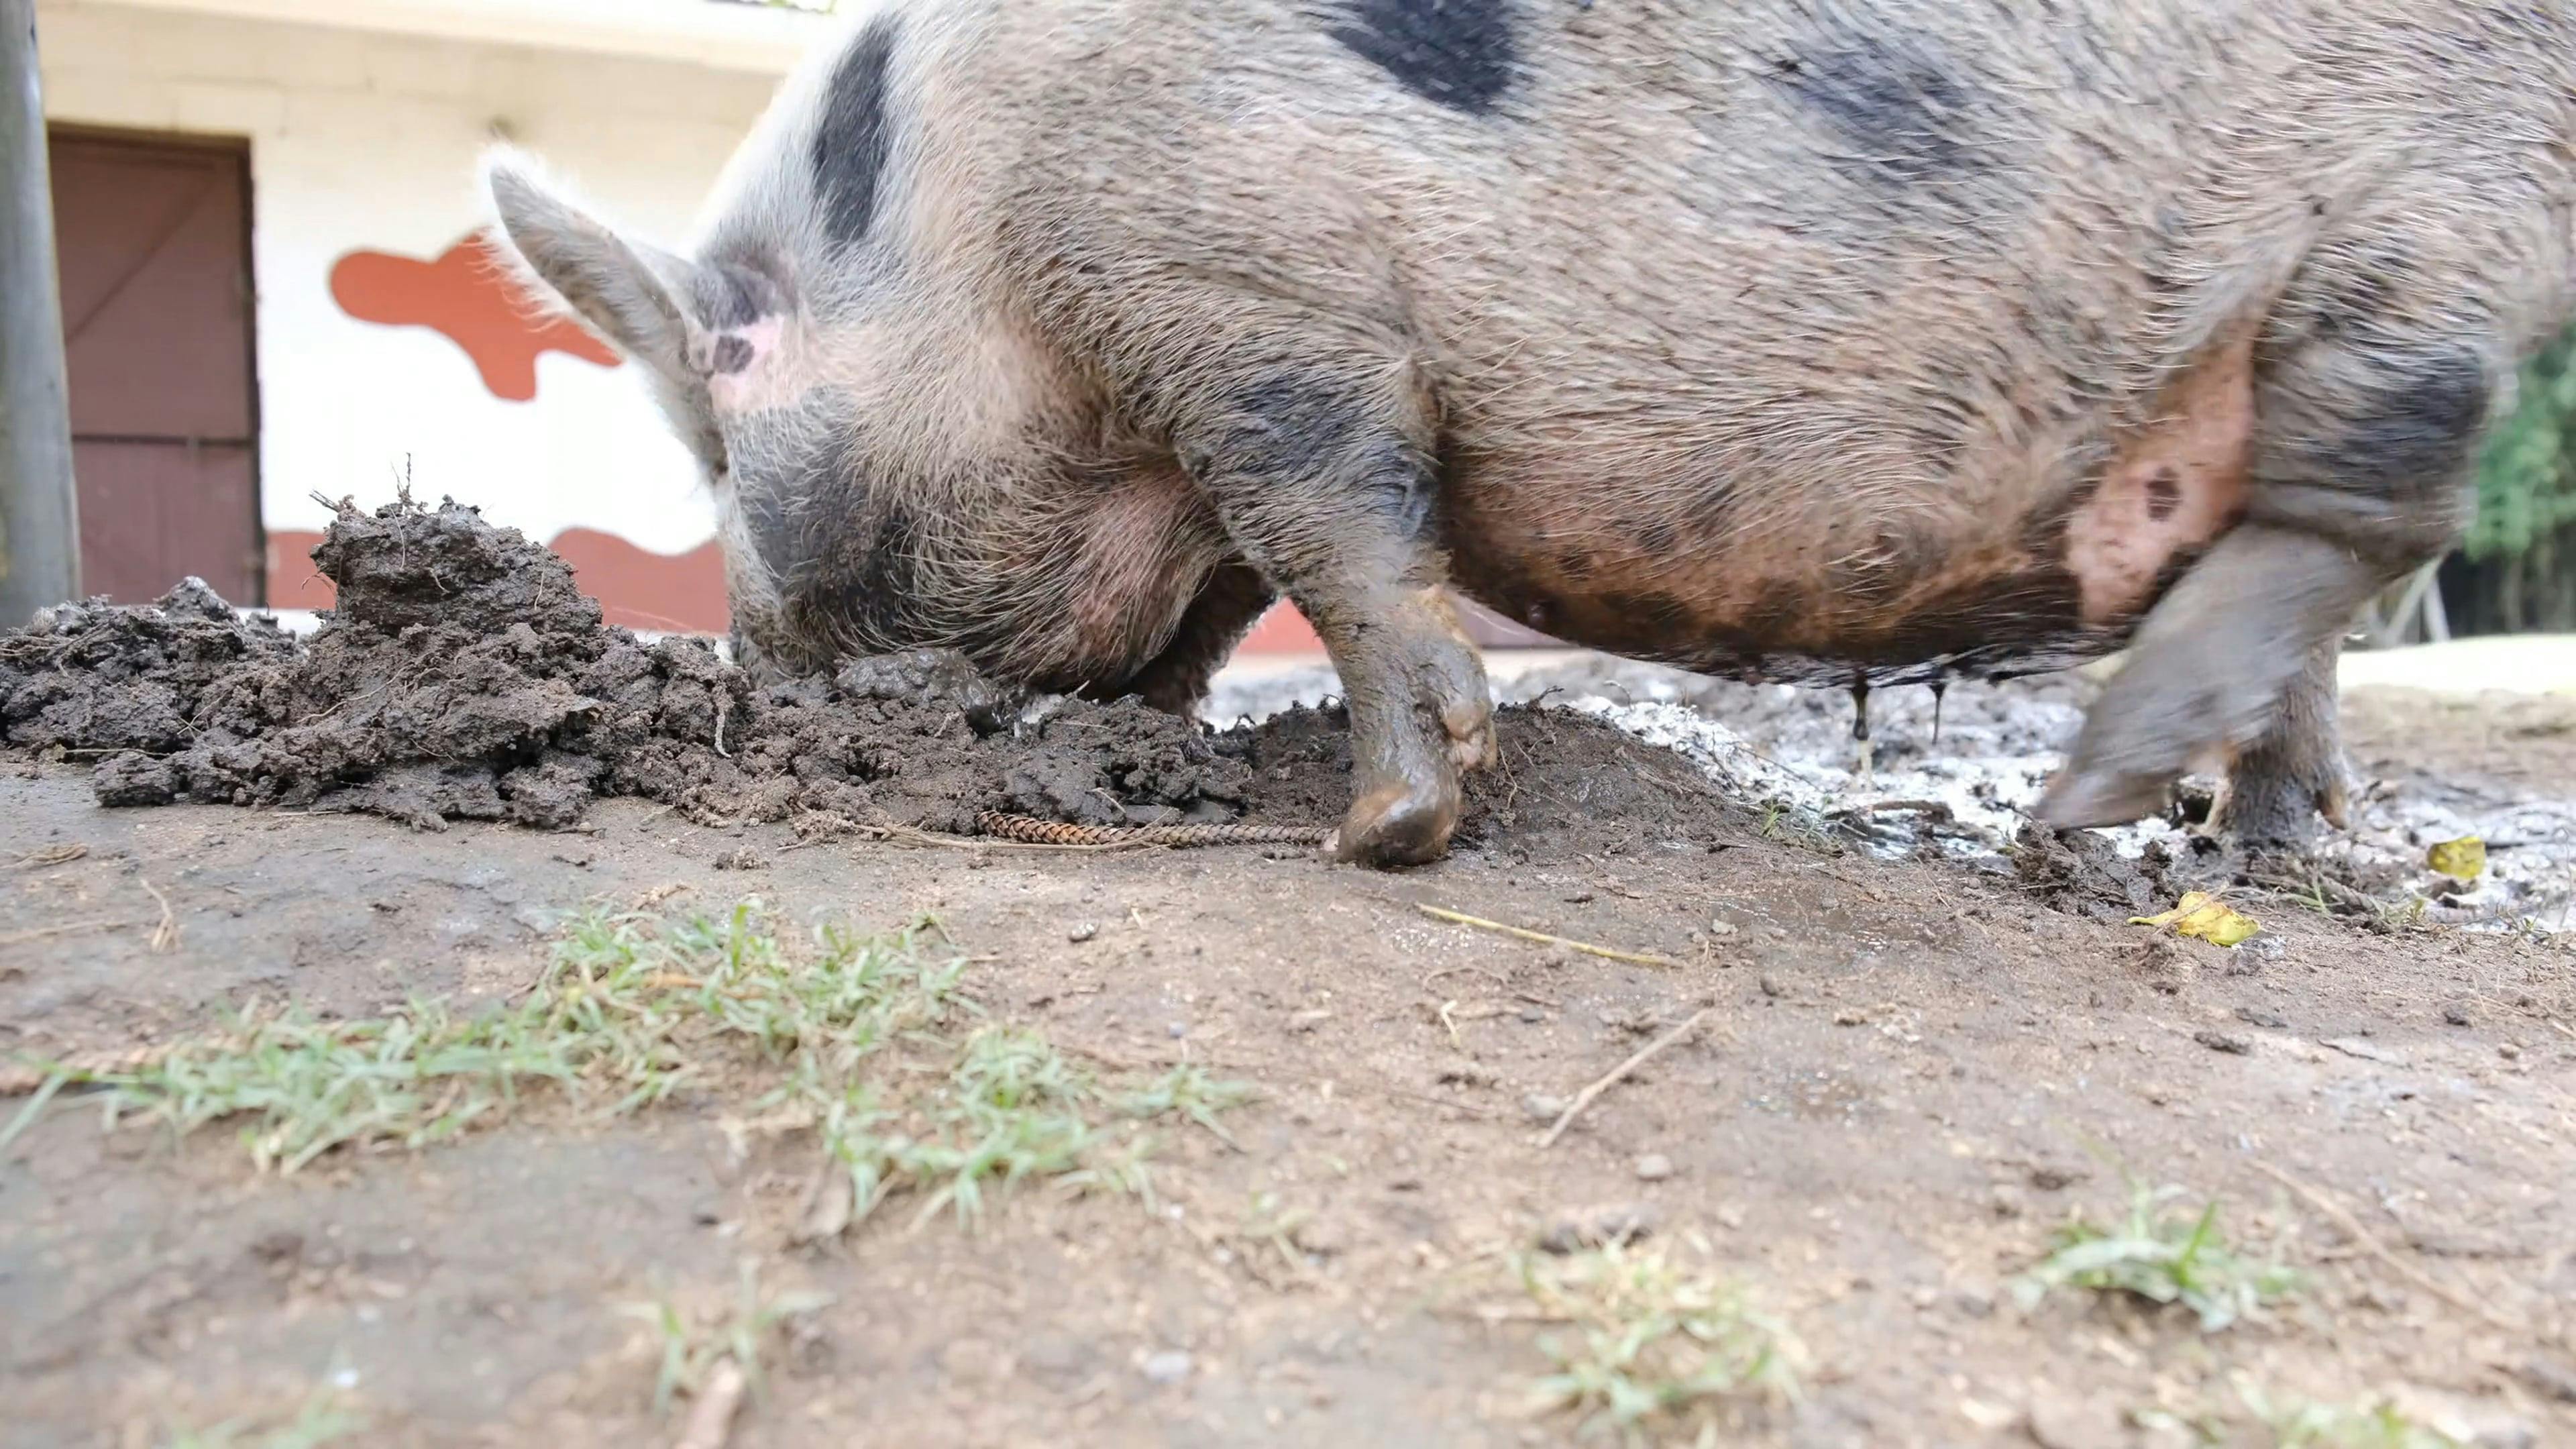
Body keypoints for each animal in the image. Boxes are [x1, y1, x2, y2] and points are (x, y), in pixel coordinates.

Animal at [485, 0, 2576, 867]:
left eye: (717, 445)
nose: (759, 681)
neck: (954, 222)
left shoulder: (1248, 288)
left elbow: (1327, 529)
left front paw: (1381, 837)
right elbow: (1232, 589)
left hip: (2420, 235)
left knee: (2367, 510)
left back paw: (2084, 812)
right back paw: (2271, 852)